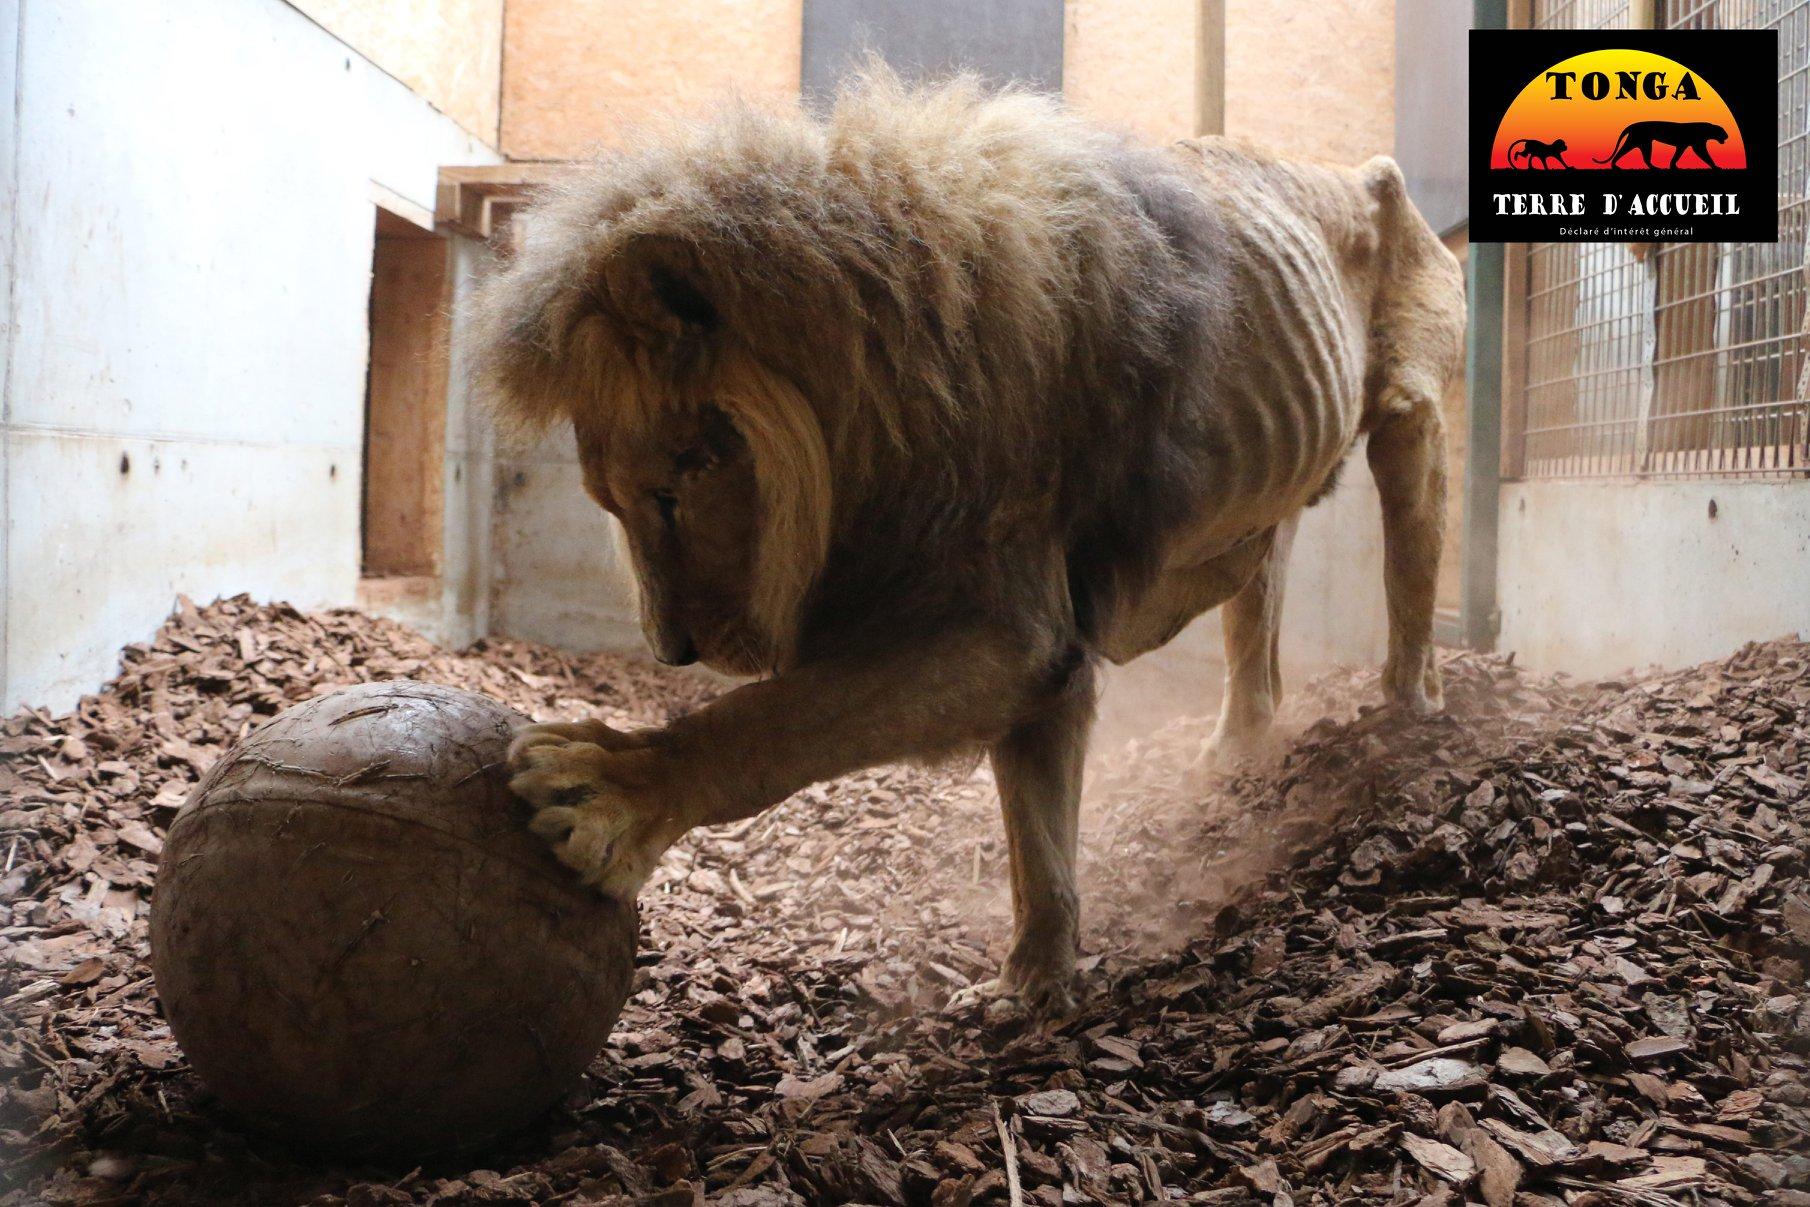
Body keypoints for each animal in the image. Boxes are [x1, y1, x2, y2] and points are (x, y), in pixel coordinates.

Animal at [470, 71, 1466, 1014]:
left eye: (670, 495)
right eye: (610, 502)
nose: (672, 652)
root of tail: (1361, 169)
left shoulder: (1010, 627)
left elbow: (776, 719)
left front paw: (613, 785)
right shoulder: (1048, 641)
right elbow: (1038, 829)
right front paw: (1034, 981)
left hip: (1412, 412)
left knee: (1412, 568)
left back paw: (1410, 714)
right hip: (1264, 503)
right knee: (1261, 606)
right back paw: (1239, 751)